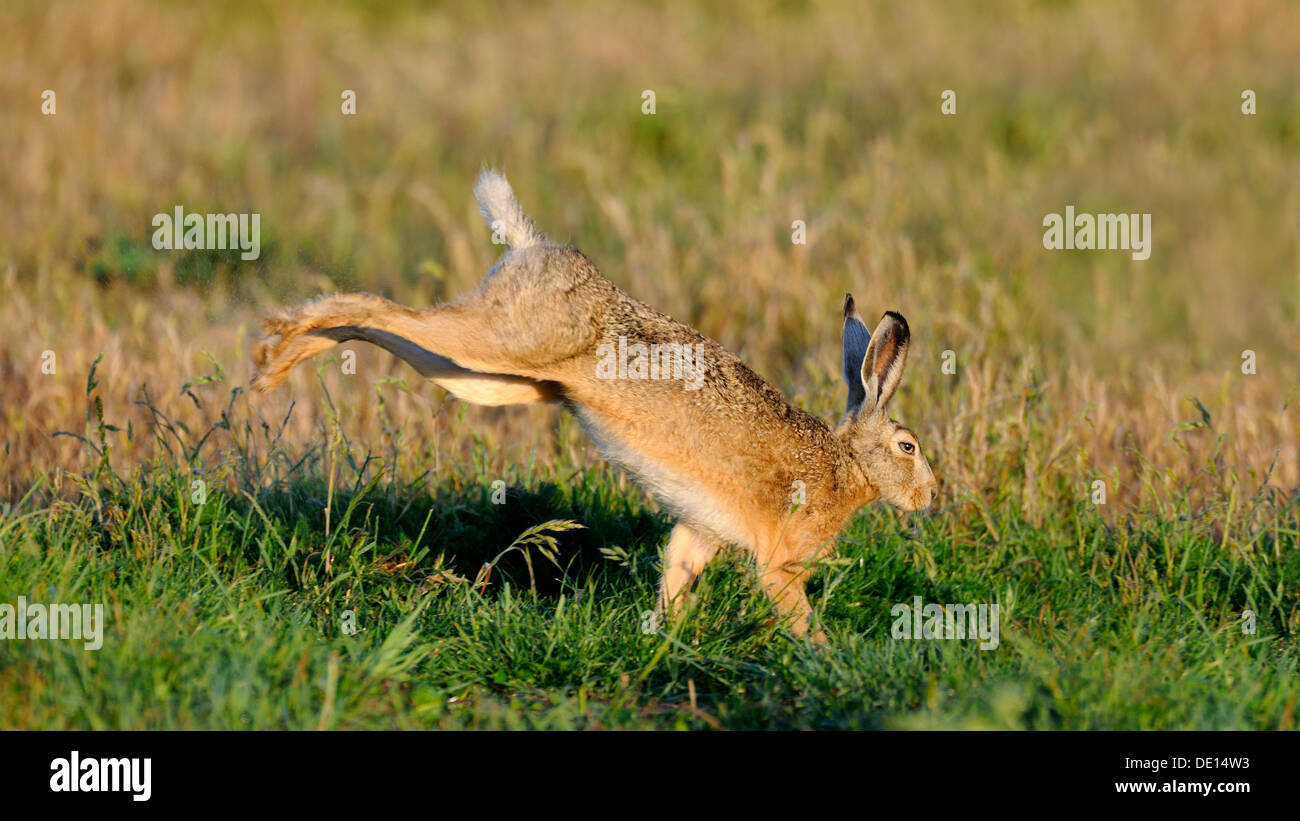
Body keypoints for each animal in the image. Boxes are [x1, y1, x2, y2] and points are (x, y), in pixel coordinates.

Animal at [251, 170, 938, 641]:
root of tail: (534, 247)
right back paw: (274, 348)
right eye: (908, 447)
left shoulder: (701, 532)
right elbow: (796, 613)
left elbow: (676, 574)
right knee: (375, 308)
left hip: (490, 374)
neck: (849, 466)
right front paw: (824, 653)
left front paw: (660, 638)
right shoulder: (781, 563)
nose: (932, 497)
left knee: (380, 324)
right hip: (498, 341)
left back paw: (280, 354)